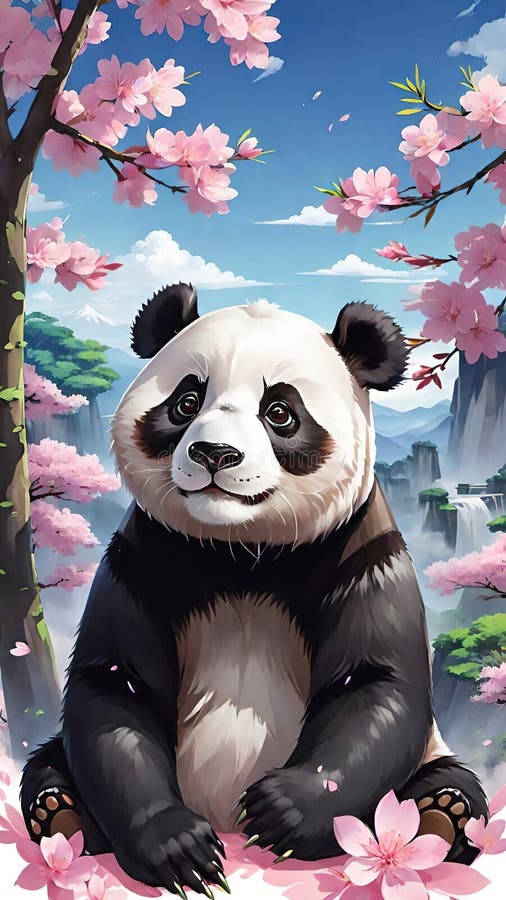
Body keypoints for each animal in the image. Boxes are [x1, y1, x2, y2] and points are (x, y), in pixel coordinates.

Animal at [22, 283, 488, 897]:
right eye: (186, 403)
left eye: (280, 413)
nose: (214, 454)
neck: (242, 552)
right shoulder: (142, 558)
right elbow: (116, 687)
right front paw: (179, 848)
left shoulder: (362, 552)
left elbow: (374, 685)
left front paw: (282, 811)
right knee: (52, 763)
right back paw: (60, 812)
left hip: (431, 754)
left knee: (449, 783)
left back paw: (441, 813)